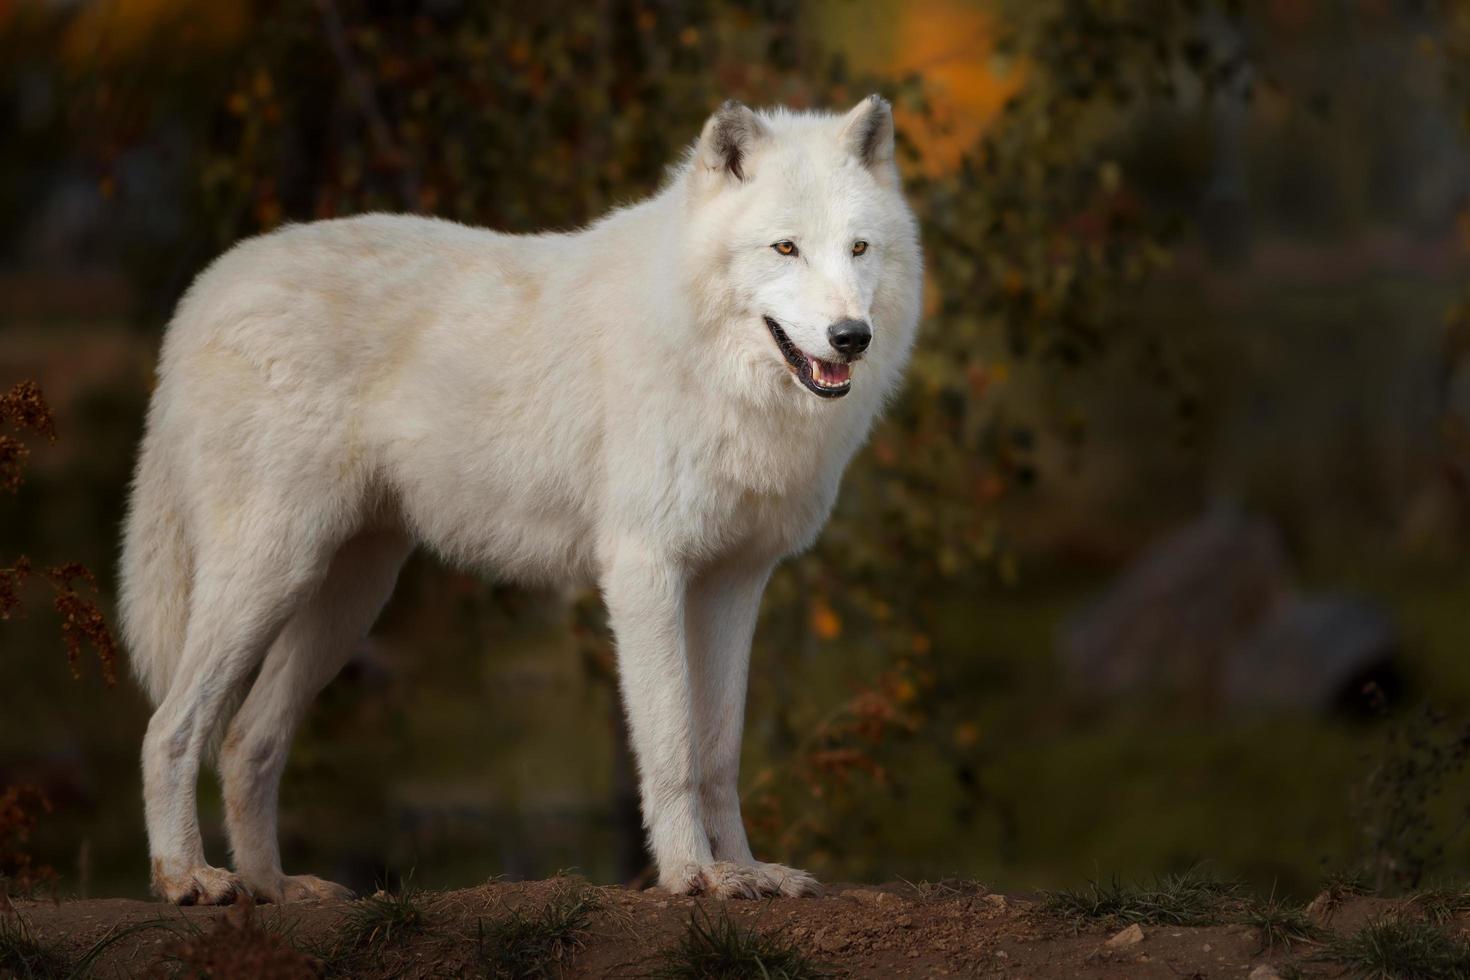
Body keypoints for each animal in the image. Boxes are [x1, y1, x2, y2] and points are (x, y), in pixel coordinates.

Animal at [119, 95, 922, 904]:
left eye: (858, 249)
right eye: (785, 248)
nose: (850, 336)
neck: (716, 371)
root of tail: (202, 295)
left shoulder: (734, 581)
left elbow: (720, 751)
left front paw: (748, 872)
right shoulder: (644, 571)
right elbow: (672, 746)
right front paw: (692, 874)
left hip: (345, 597)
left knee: (245, 740)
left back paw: (276, 889)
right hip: (272, 574)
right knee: (168, 729)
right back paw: (188, 878)